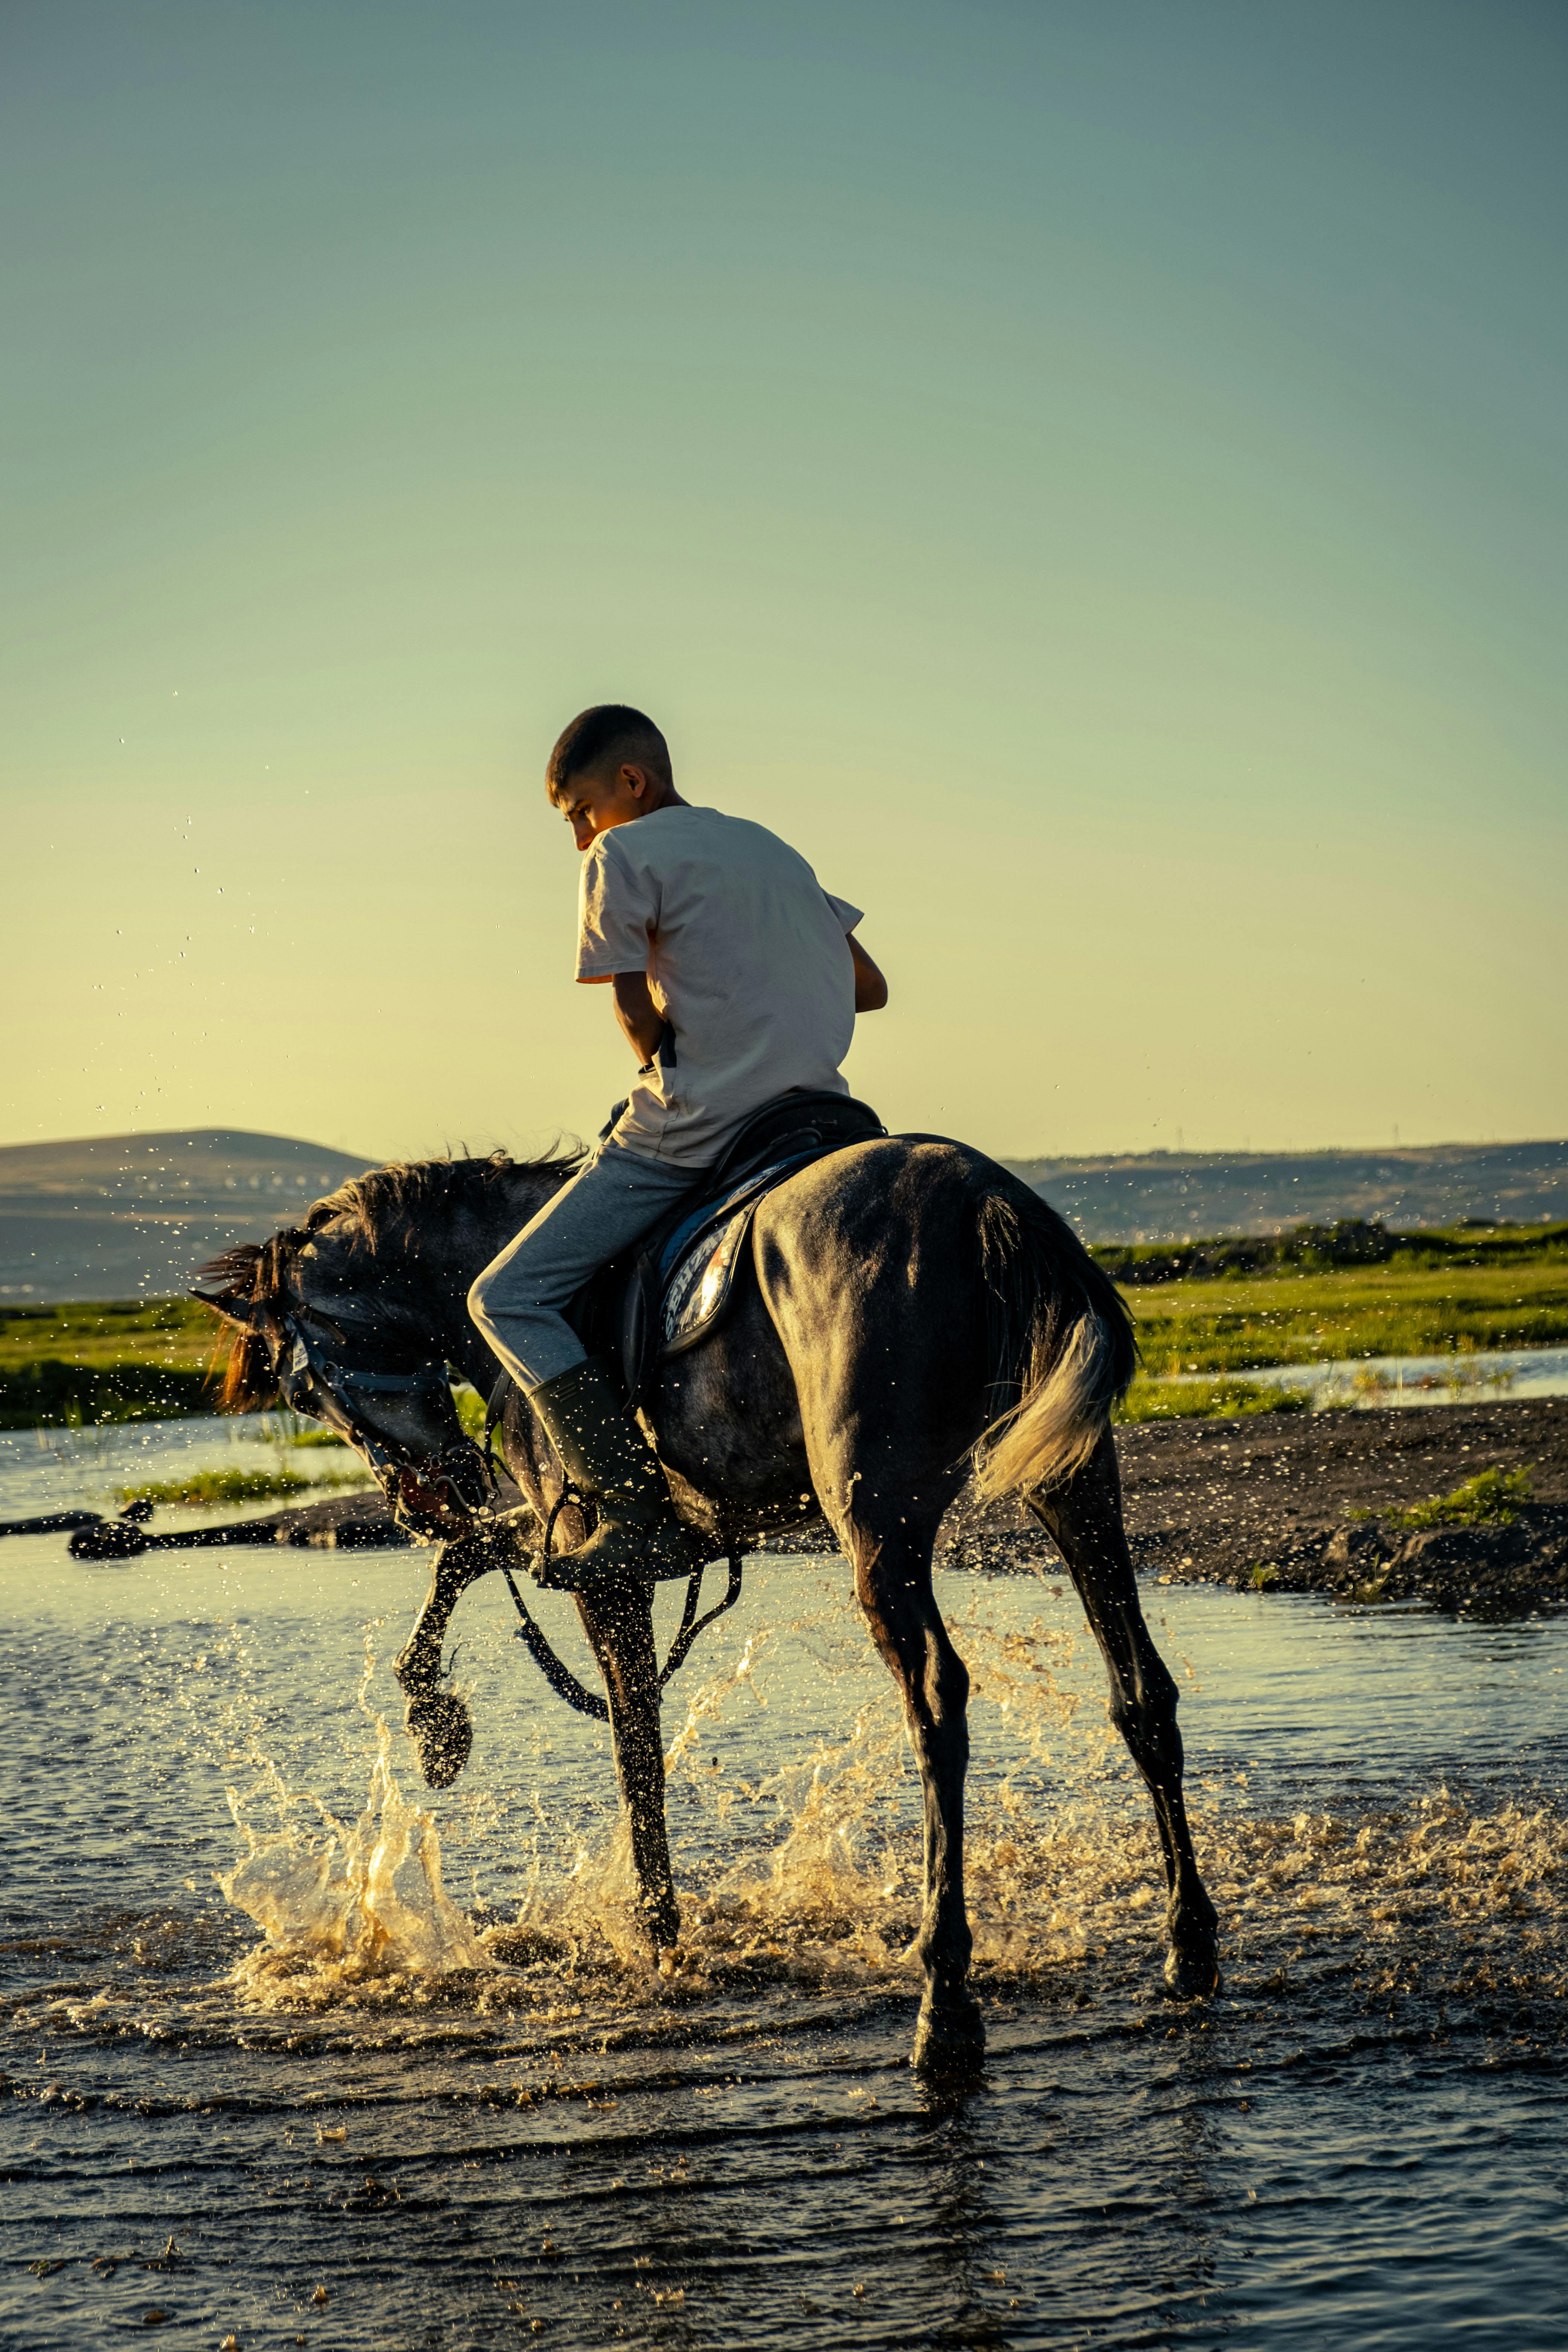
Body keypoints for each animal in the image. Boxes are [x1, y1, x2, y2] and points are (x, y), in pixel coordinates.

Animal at [197, 1132, 1220, 2069]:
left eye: (300, 1388)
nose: (421, 1498)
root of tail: (982, 1197)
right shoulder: (572, 1538)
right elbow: (467, 1557)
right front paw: (436, 1723)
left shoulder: (602, 1565)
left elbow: (635, 1754)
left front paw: (660, 1939)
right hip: (1073, 1483)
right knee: (1140, 1691)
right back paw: (1188, 1948)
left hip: (877, 1521)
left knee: (936, 1704)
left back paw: (944, 2000)